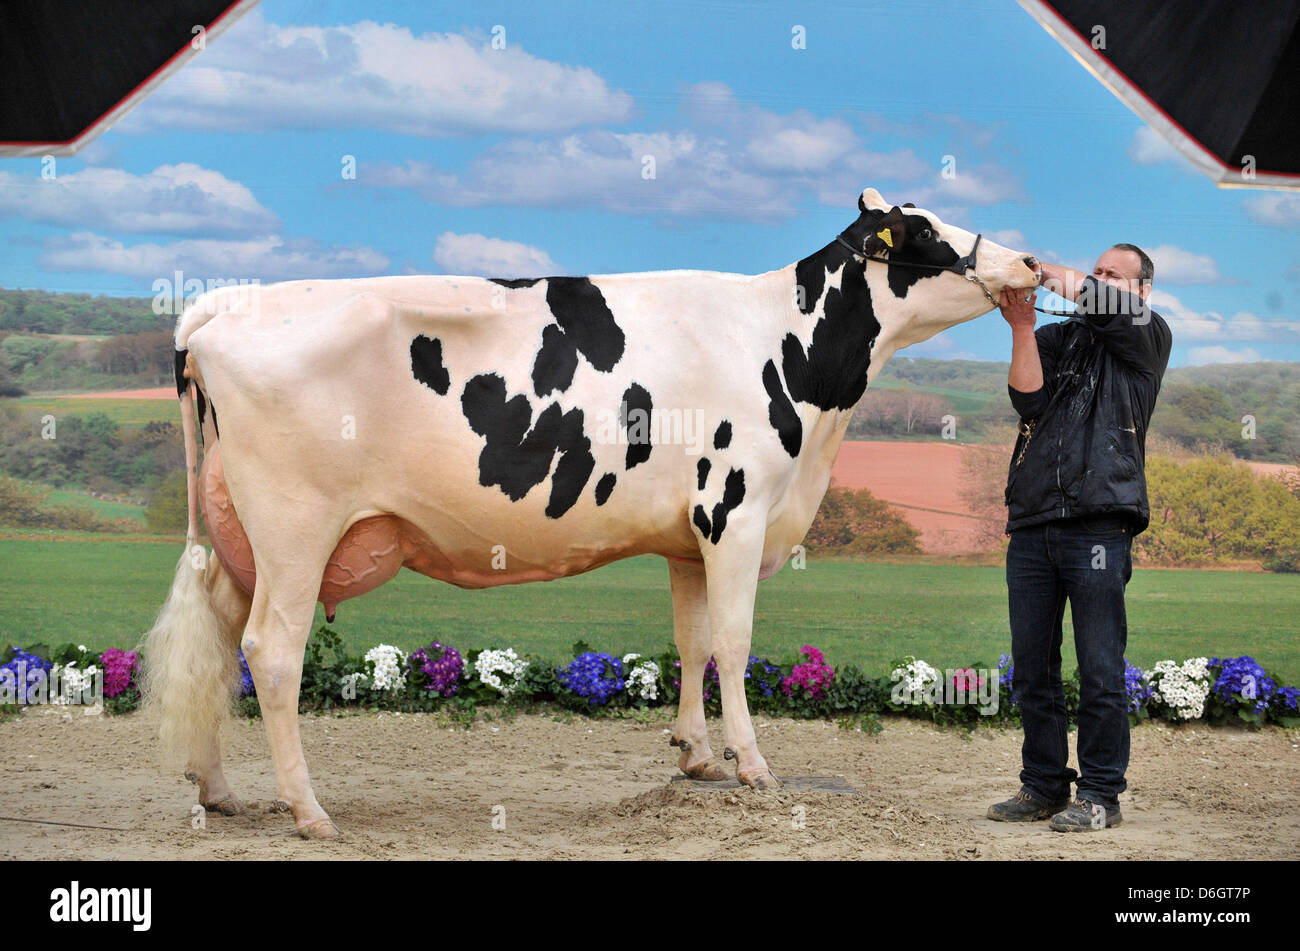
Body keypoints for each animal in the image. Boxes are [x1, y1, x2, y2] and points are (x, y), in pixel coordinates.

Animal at [141, 187, 1039, 838]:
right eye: (927, 233)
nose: (1030, 259)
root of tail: (219, 306)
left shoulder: (688, 537)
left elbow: (692, 640)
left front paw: (695, 757)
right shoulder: (736, 511)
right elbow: (735, 640)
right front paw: (751, 764)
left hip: (241, 538)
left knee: (219, 638)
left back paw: (219, 790)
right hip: (296, 531)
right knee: (271, 651)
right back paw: (310, 811)